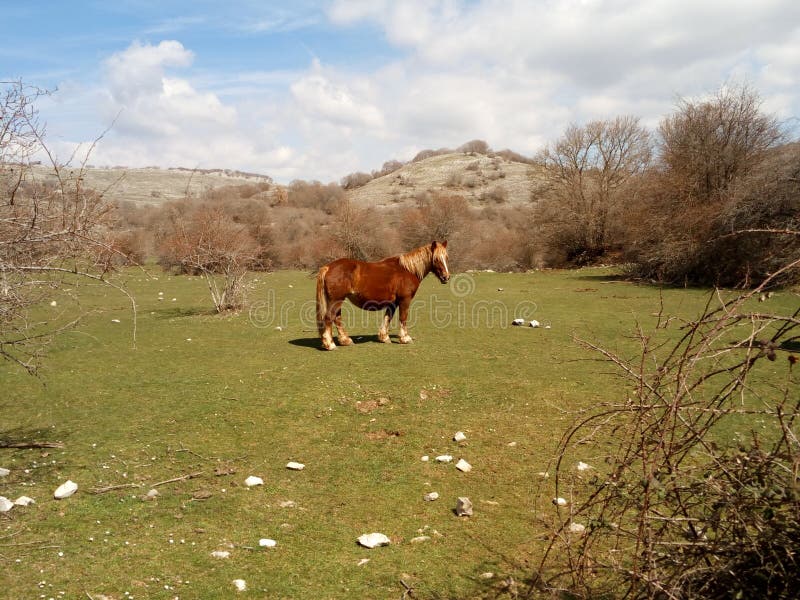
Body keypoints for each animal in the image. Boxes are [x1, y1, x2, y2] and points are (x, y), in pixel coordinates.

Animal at [316, 241, 450, 350]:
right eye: (436, 259)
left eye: (446, 258)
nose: (446, 277)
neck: (408, 270)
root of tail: (328, 267)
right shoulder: (404, 300)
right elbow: (403, 318)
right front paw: (405, 338)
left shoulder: (393, 302)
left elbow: (388, 317)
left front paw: (384, 337)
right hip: (336, 300)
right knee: (329, 318)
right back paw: (330, 344)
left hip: (337, 300)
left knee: (337, 318)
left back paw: (345, 340)